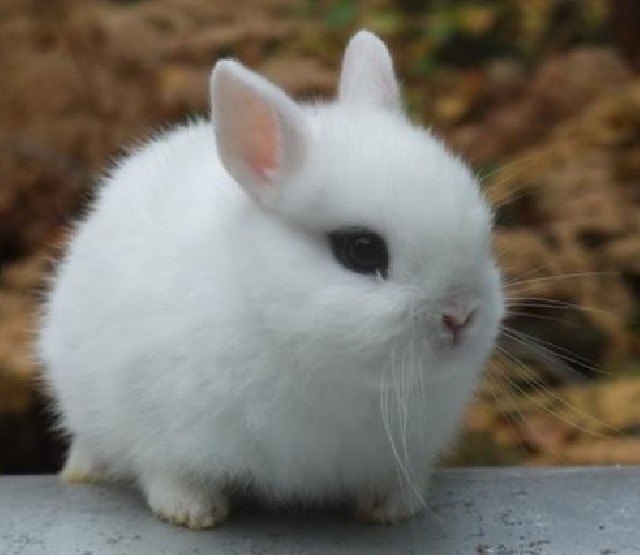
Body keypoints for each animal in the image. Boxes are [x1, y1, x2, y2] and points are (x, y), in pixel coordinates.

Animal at [37, 30, 504, 529]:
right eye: (361, 250)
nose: (460, 316)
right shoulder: (162, 425)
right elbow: (171, 472)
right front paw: (192, 512)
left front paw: (392, 509)